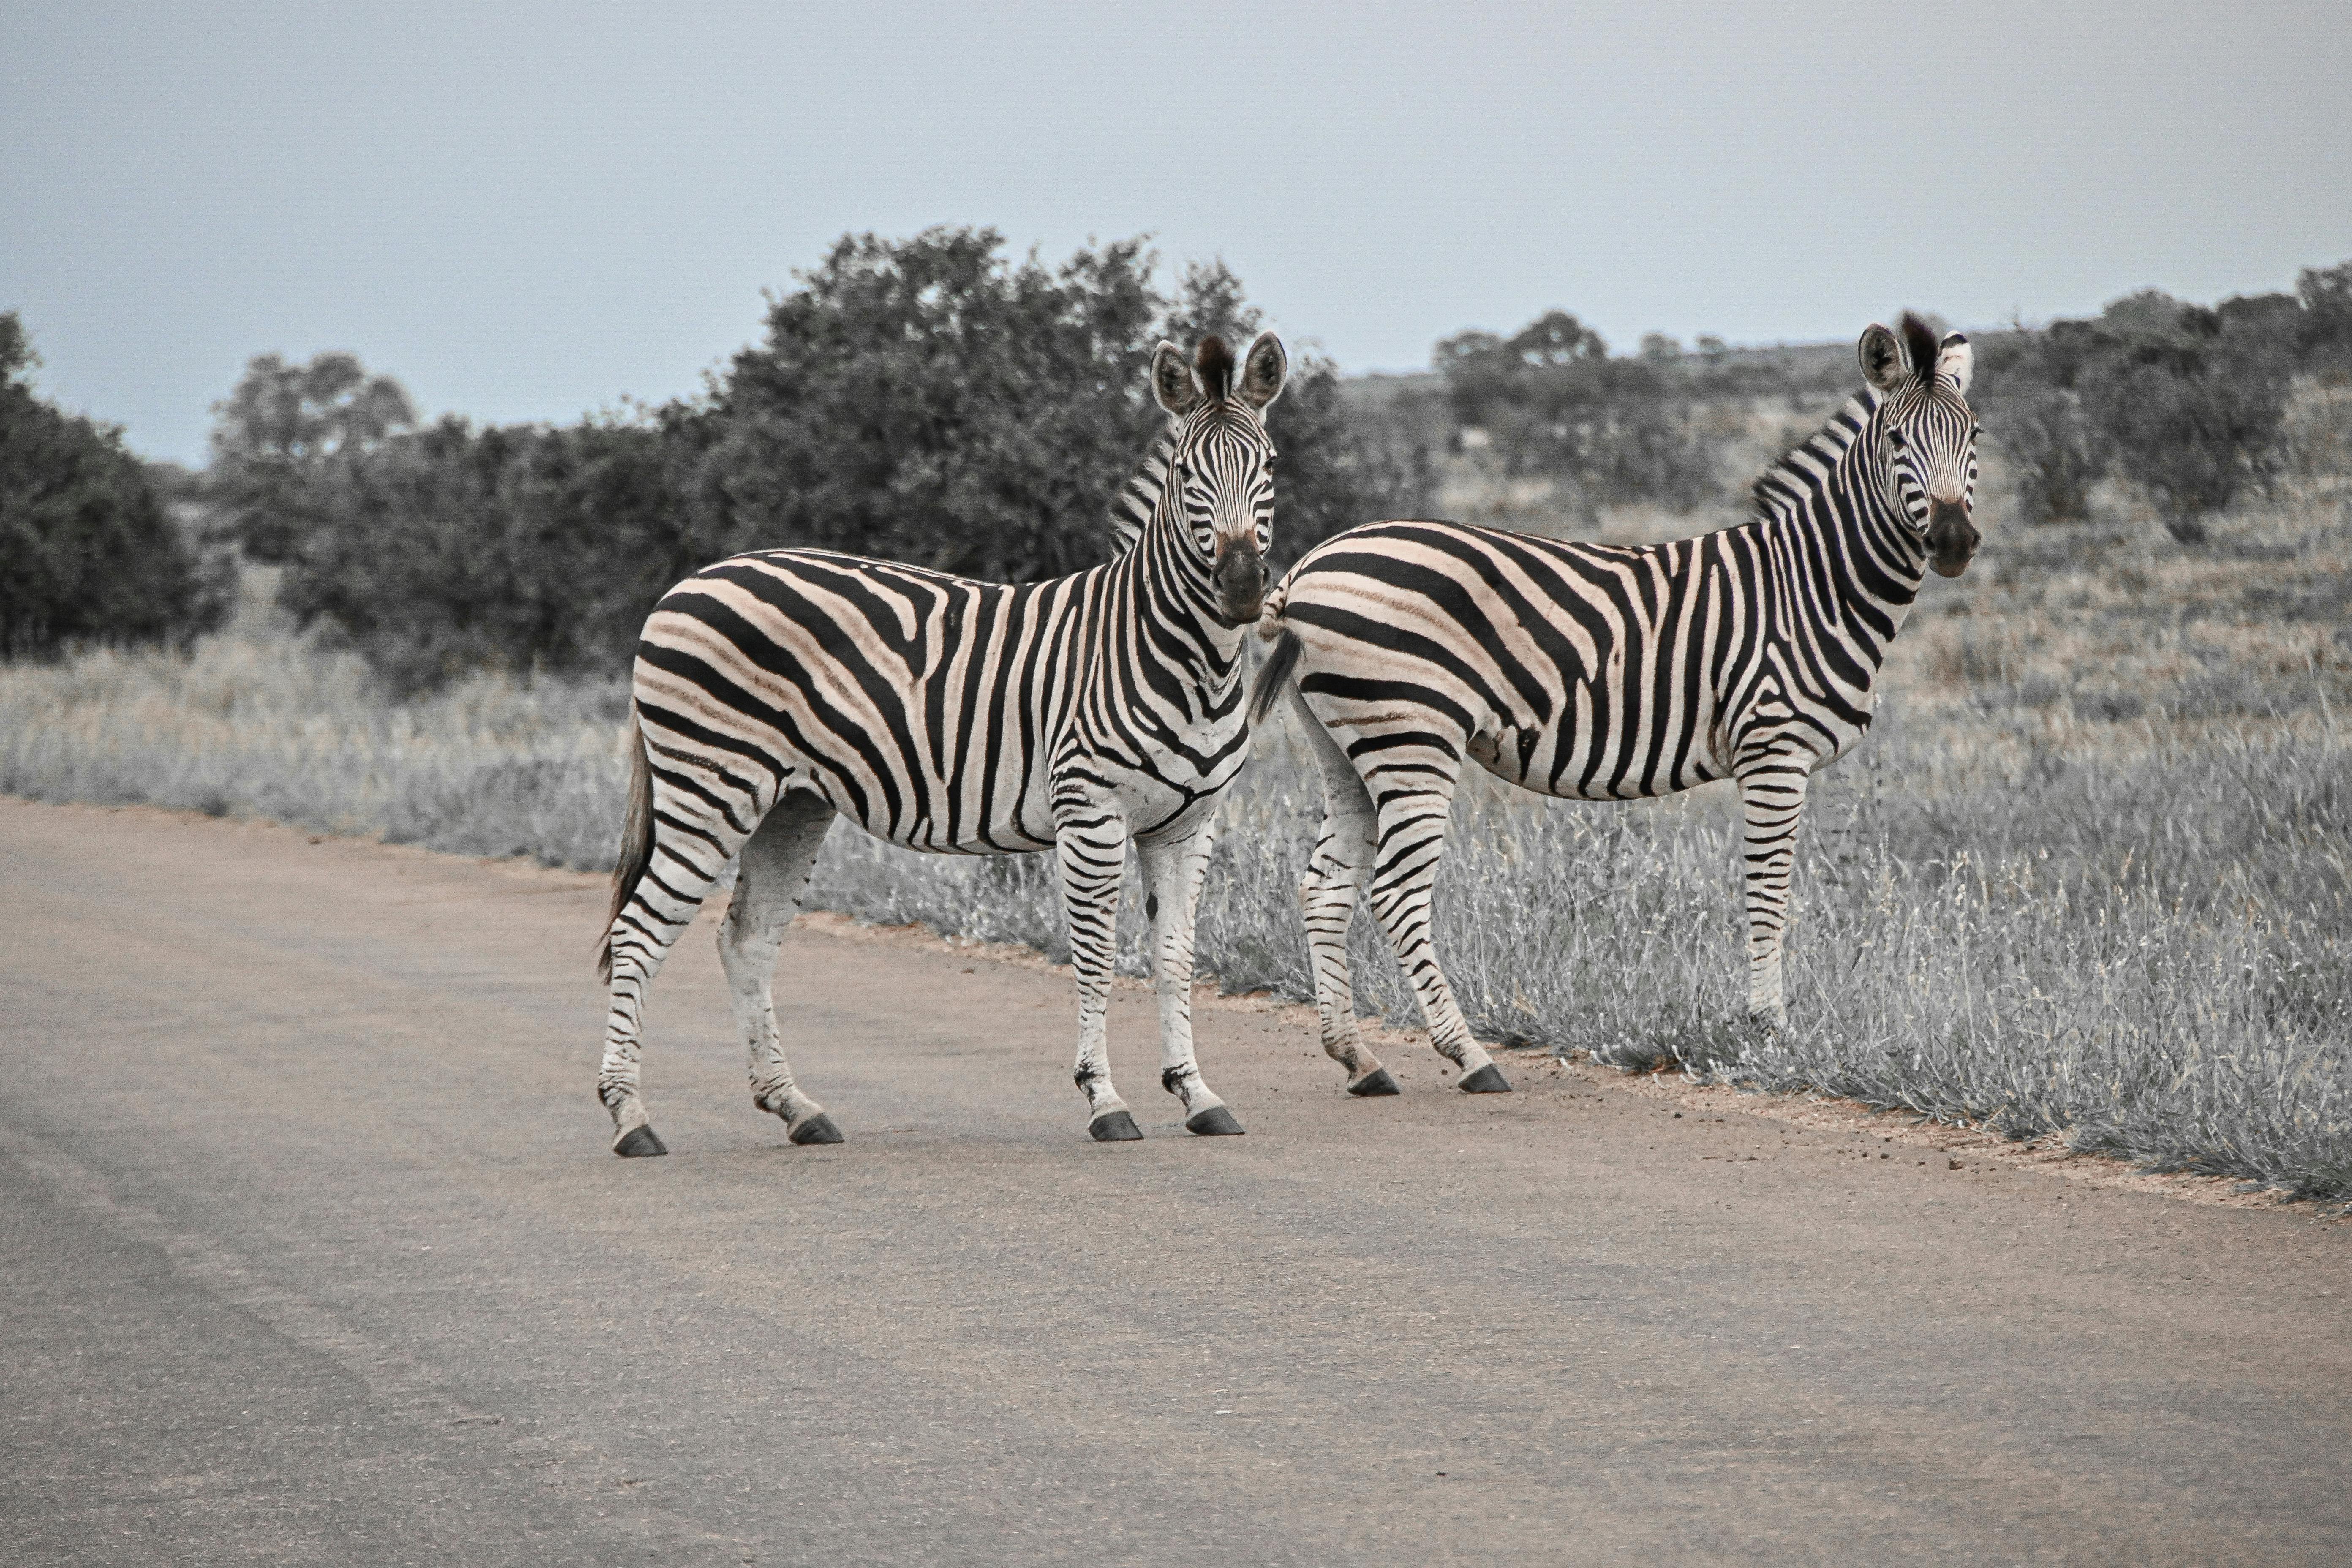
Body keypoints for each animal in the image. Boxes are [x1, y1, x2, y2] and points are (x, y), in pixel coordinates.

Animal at [596, 332, 1288, 1155]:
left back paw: (796, 1107)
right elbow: (1094, 957)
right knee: (637, 934)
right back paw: (632, 1117)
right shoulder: (1090, 812)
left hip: (791, 803)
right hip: (711, 788)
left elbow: (1175, 958)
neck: (1178, 654)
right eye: (1186, 474)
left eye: (1269, 465)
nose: (1241, 588)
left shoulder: (1188, 824)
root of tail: (686, 584)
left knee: (746, 938)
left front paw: (1196, 1093)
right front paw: (1105, 1100)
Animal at [1248, 315, 1979, 1096]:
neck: (1813, 584)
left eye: (1975, 436)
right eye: (1897, 440)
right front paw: (1769, 1031)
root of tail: (1303, 571)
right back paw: (1468, 1054)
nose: (1953, 542)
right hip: (1412, 738)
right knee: (1394, 892)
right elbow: (1769, 890)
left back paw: (1359, 1058)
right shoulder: (1774, 750)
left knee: (1325, 887)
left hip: (1345, 747)